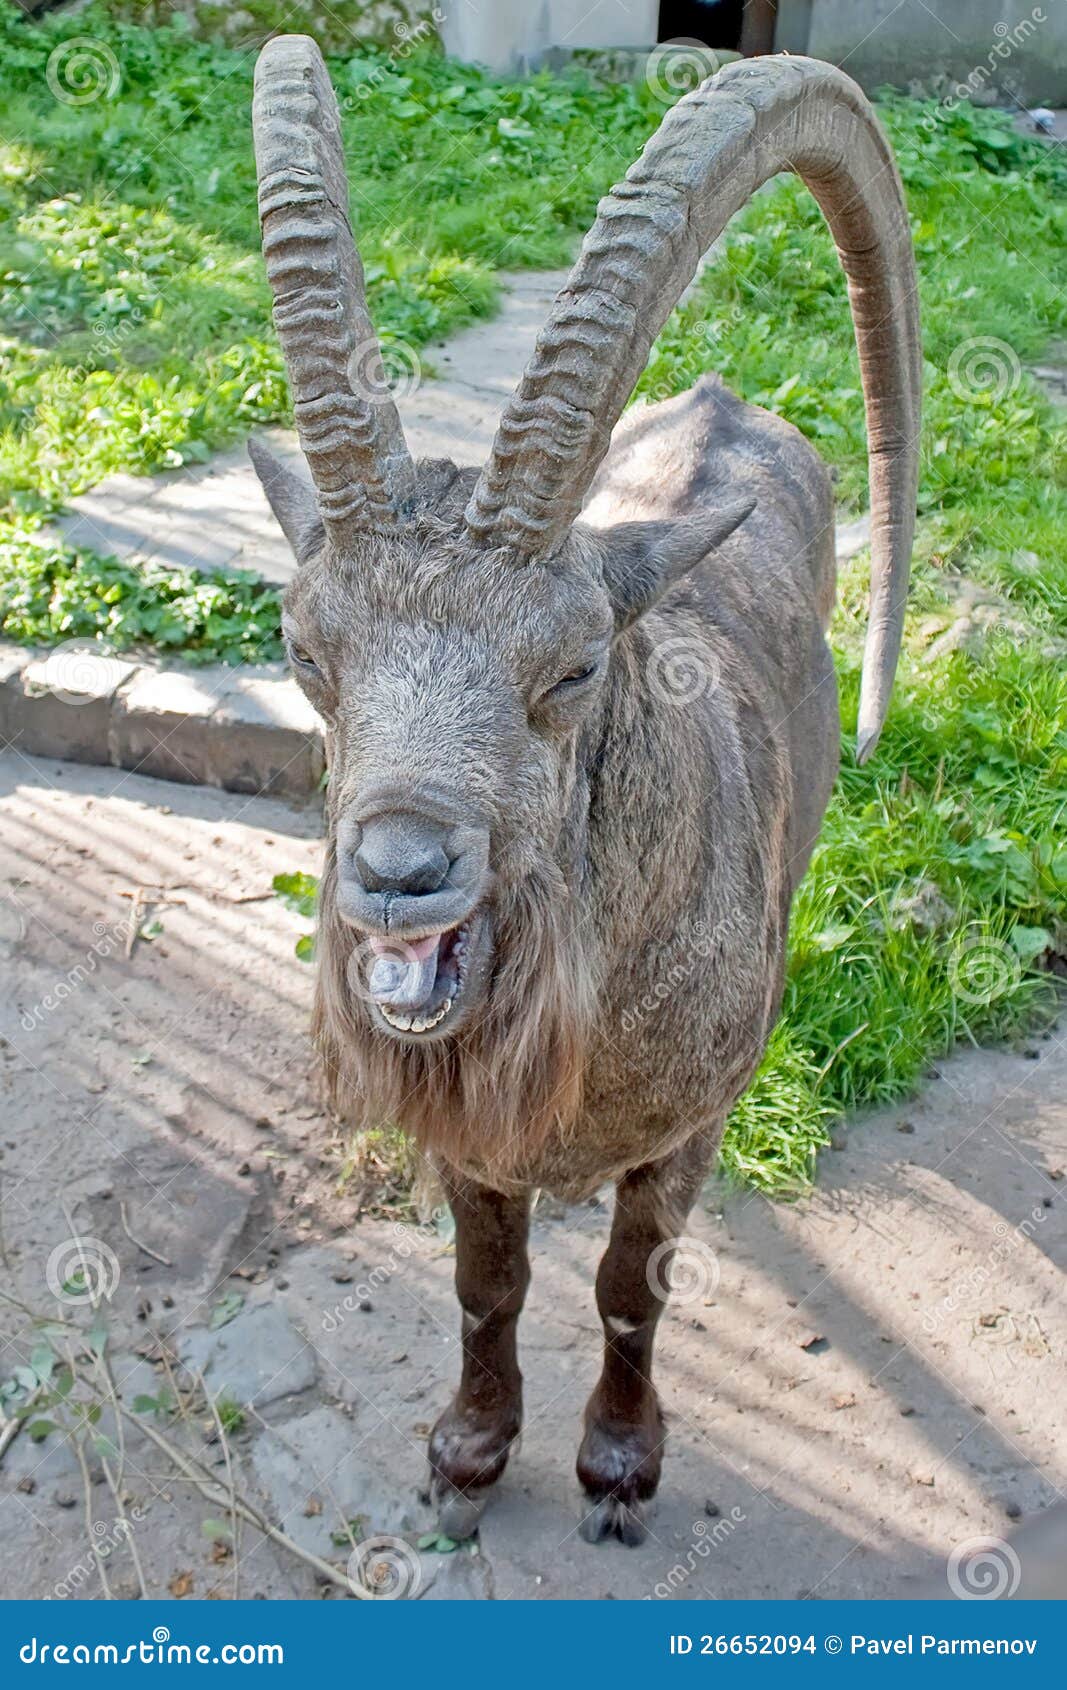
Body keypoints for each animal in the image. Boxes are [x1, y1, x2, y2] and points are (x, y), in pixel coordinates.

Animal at [248, 37, 920, 1545]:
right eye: (305, 648)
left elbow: (628, 1289)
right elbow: (485, 1283)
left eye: (572, 666)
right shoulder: (472, 1146)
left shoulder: (687, 1130)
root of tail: (722, 395)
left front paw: (616, 1470)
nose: (398, 874)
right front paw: (463, 1458)